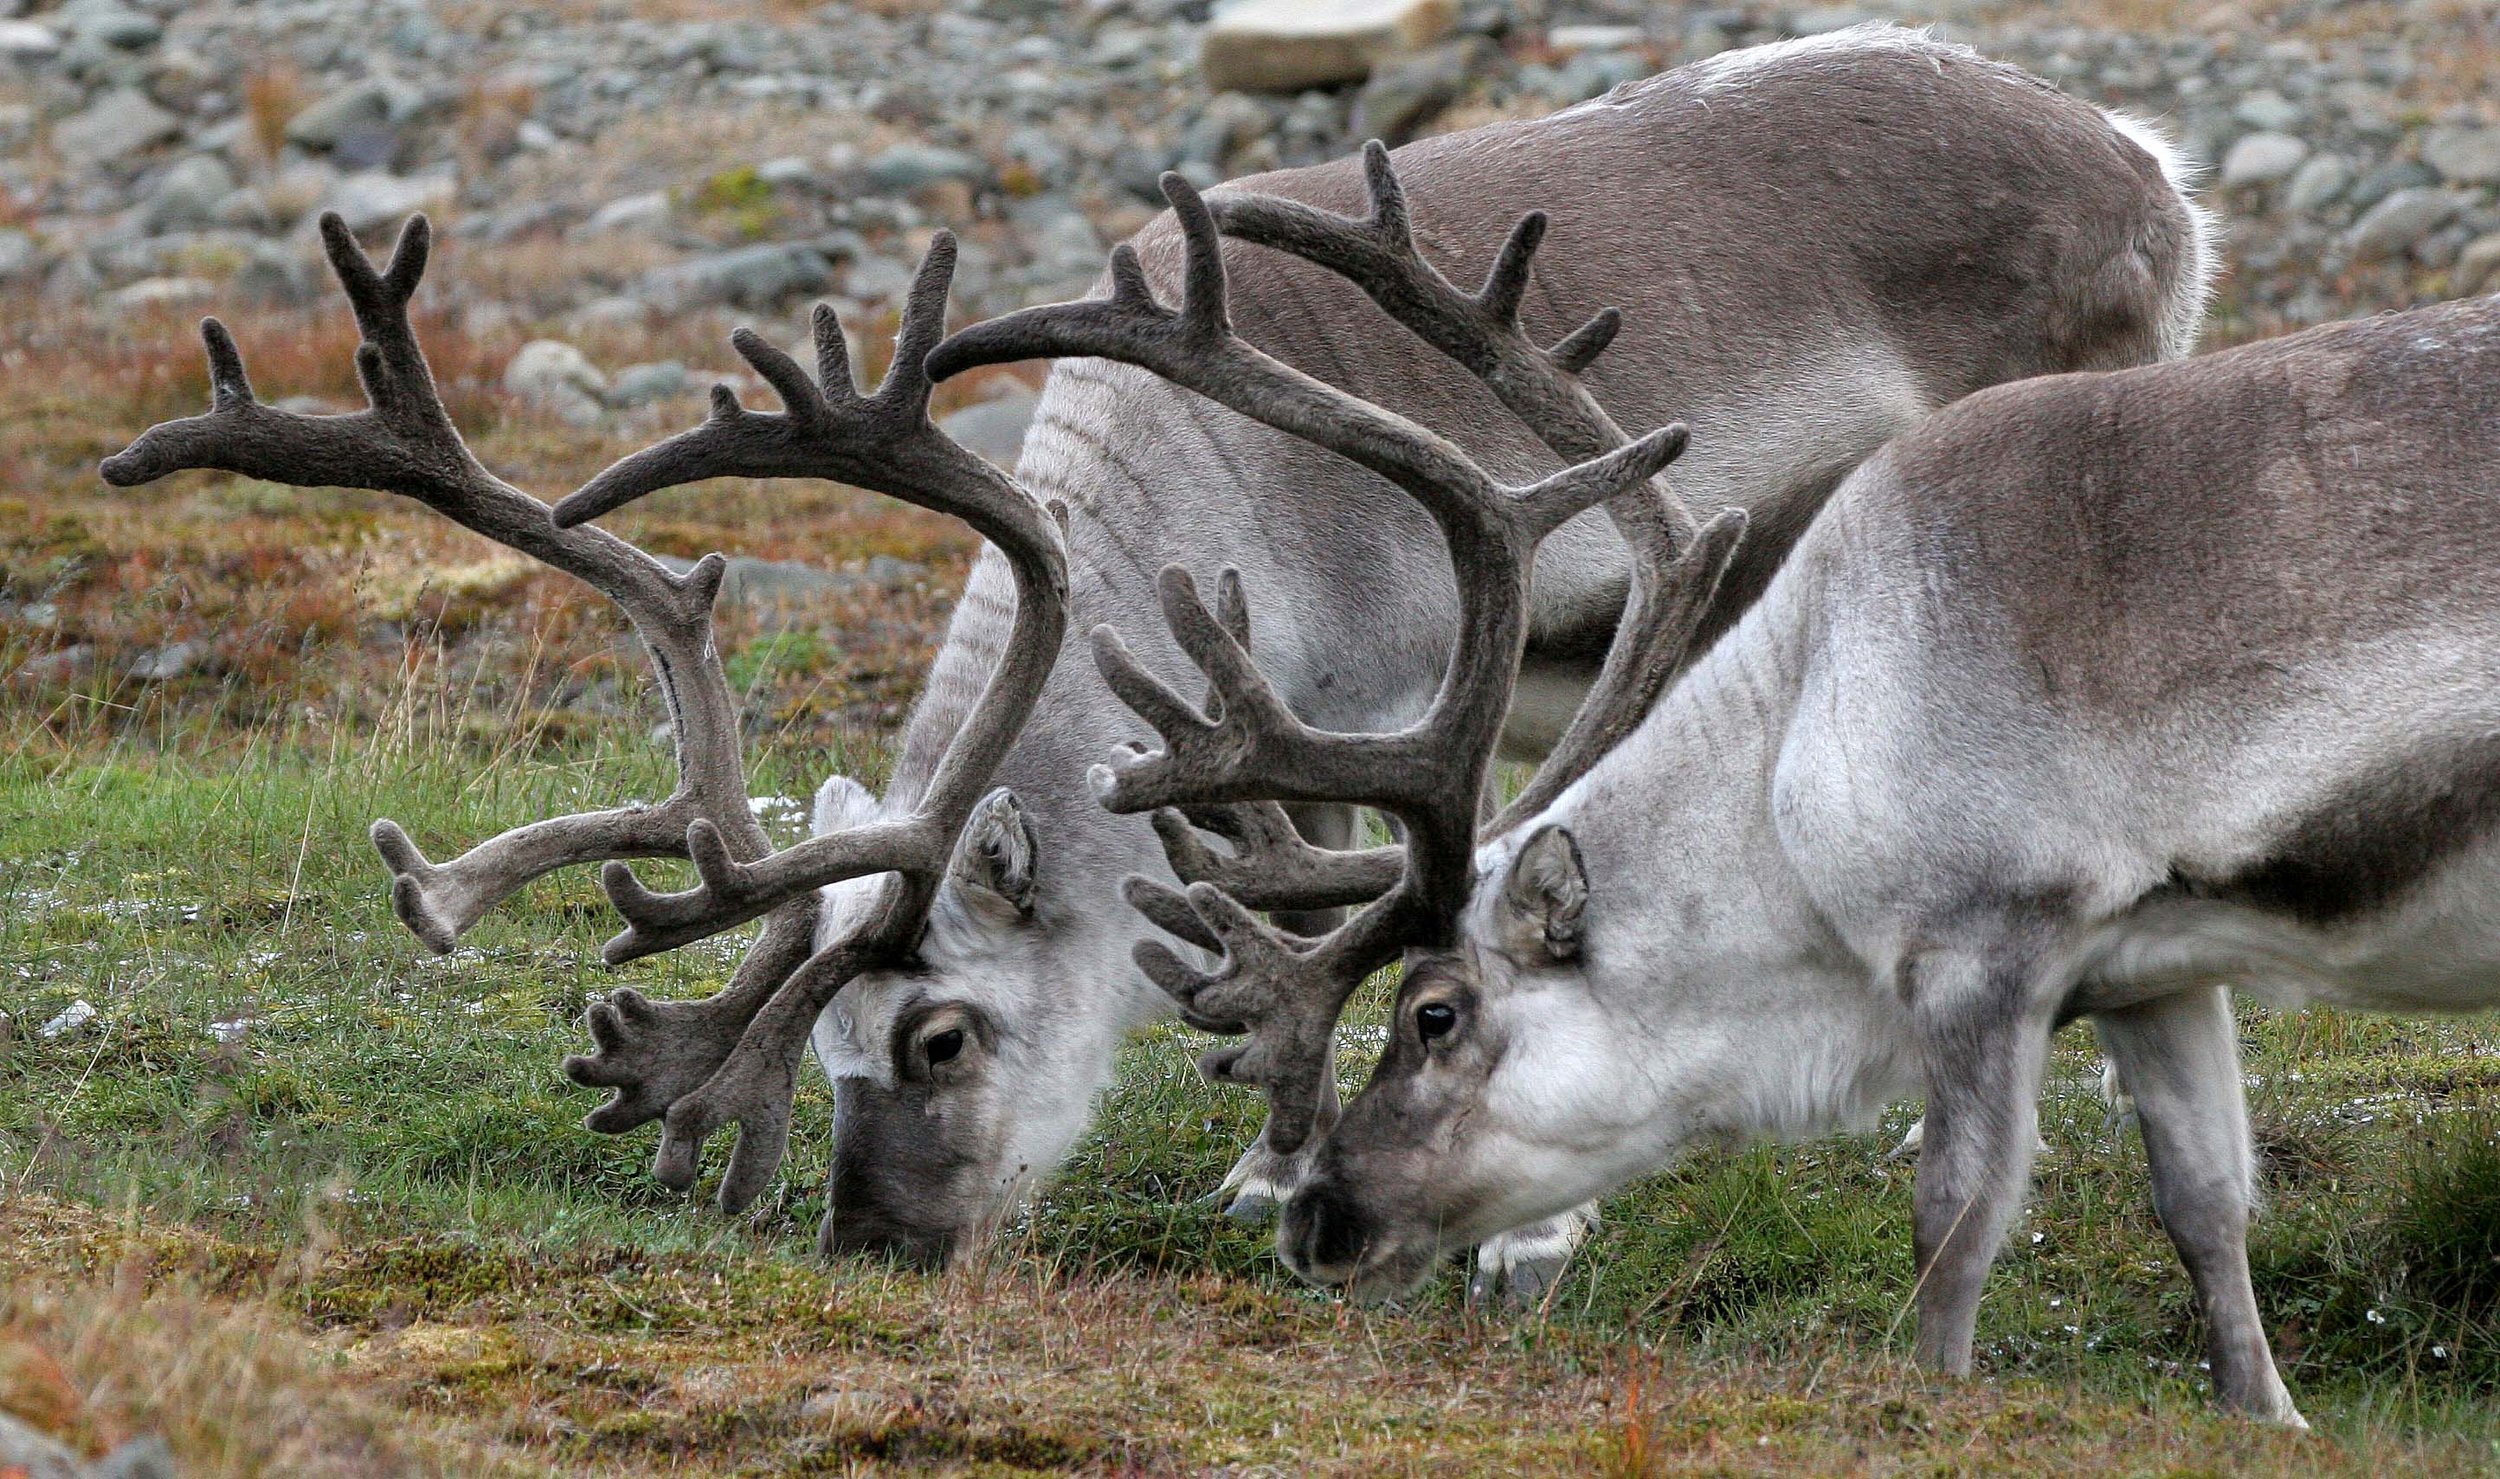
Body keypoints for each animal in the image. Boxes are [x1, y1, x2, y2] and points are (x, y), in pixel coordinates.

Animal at [106, 24, 2215, 1292]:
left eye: (944, 1033)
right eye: (834, 1045)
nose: (876, 1244)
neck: (1191, 486)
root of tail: (2149, 161)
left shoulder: (1405, 682)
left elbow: (1433, 908)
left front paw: (1482, 1213)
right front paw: (1270, 1157)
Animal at [1131, 276, 2500, 1424]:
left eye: (1434, 1014)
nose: (1317, 1222)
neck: (1795, 736)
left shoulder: (1977, 949)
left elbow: (1953, 1222)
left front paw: (1934, 1399)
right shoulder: (2153, 969)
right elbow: (2206, 1206)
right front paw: (2270, 1420)